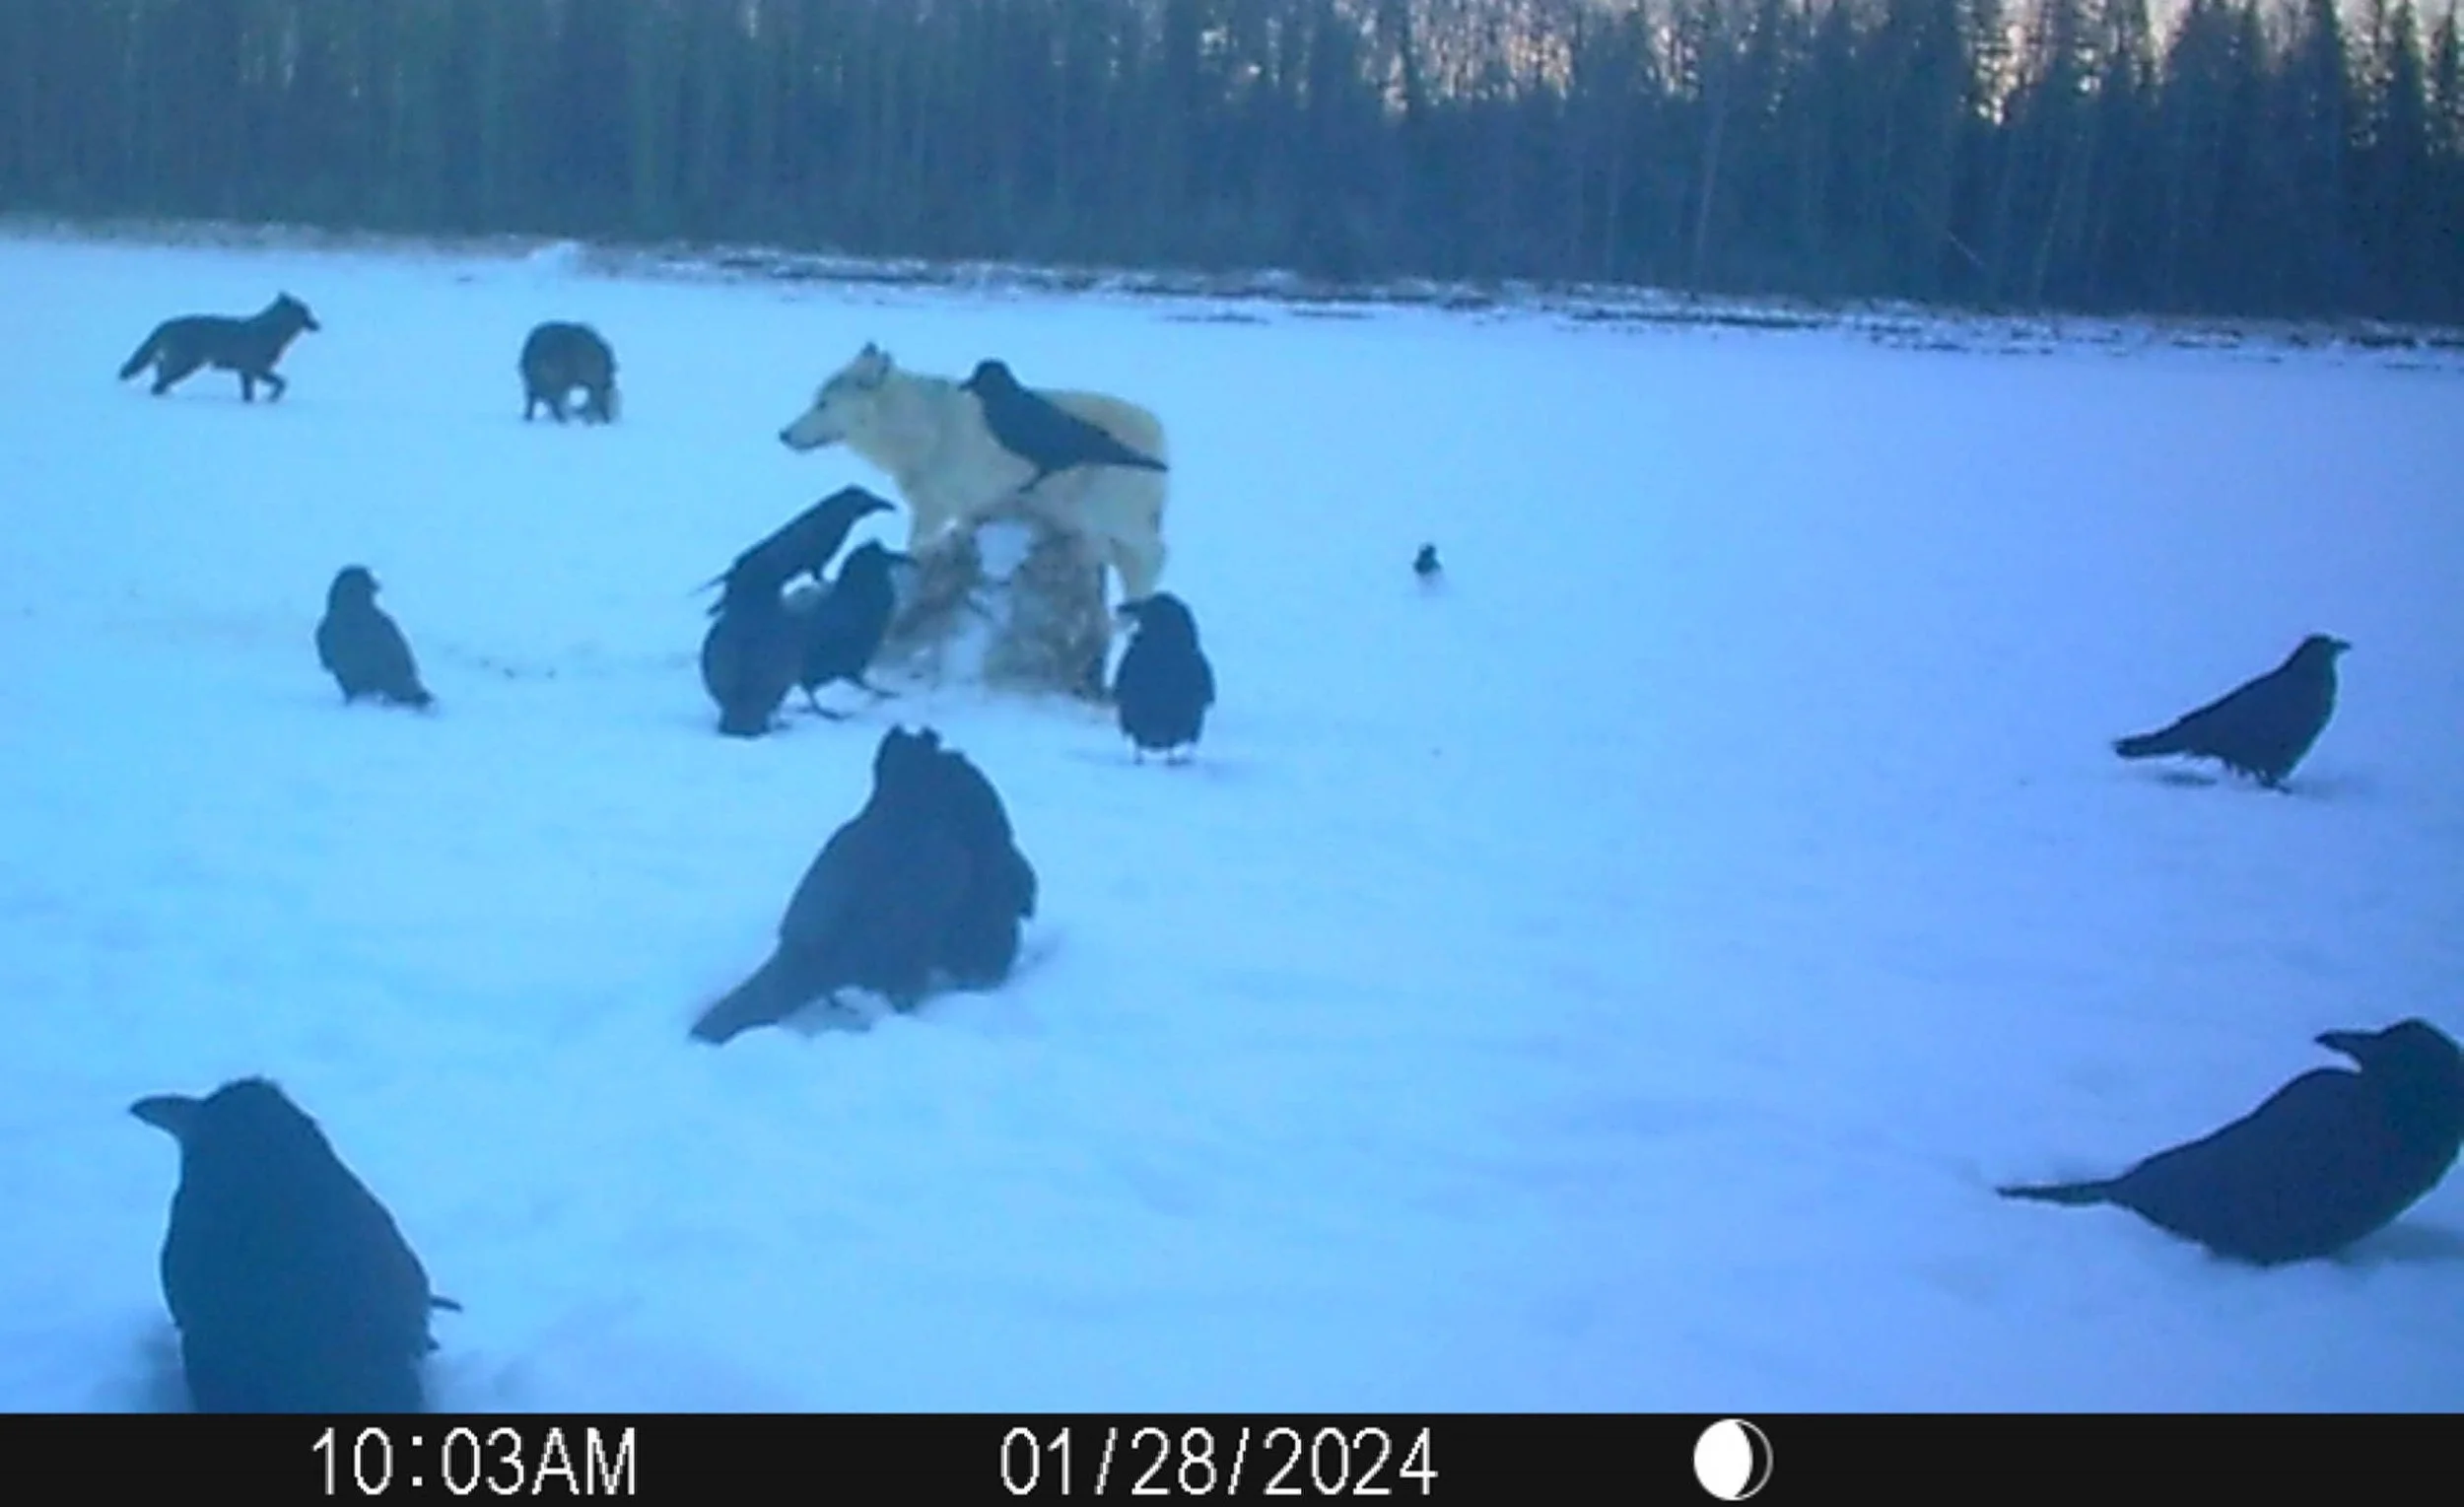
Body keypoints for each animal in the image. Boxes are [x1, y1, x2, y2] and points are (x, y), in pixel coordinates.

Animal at [118, 293, 320, 402]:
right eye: (306, 312)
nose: (320, 325)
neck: (272, 330)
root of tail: (166, 323)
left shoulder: (246, 372)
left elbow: (249, 395)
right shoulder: (256, 369)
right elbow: (282, 383)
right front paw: (272, 398)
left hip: (180, 363)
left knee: (159, 374)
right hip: (186, 364)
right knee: (158, 383)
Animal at [778, 343, 1169, 605]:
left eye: (823, 405)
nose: (783, 434)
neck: (926, 428)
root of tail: (1159, 428)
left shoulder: (949, 509)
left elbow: (919, 548)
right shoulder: (948, 510)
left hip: (1113, 519)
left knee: (1155, 557)